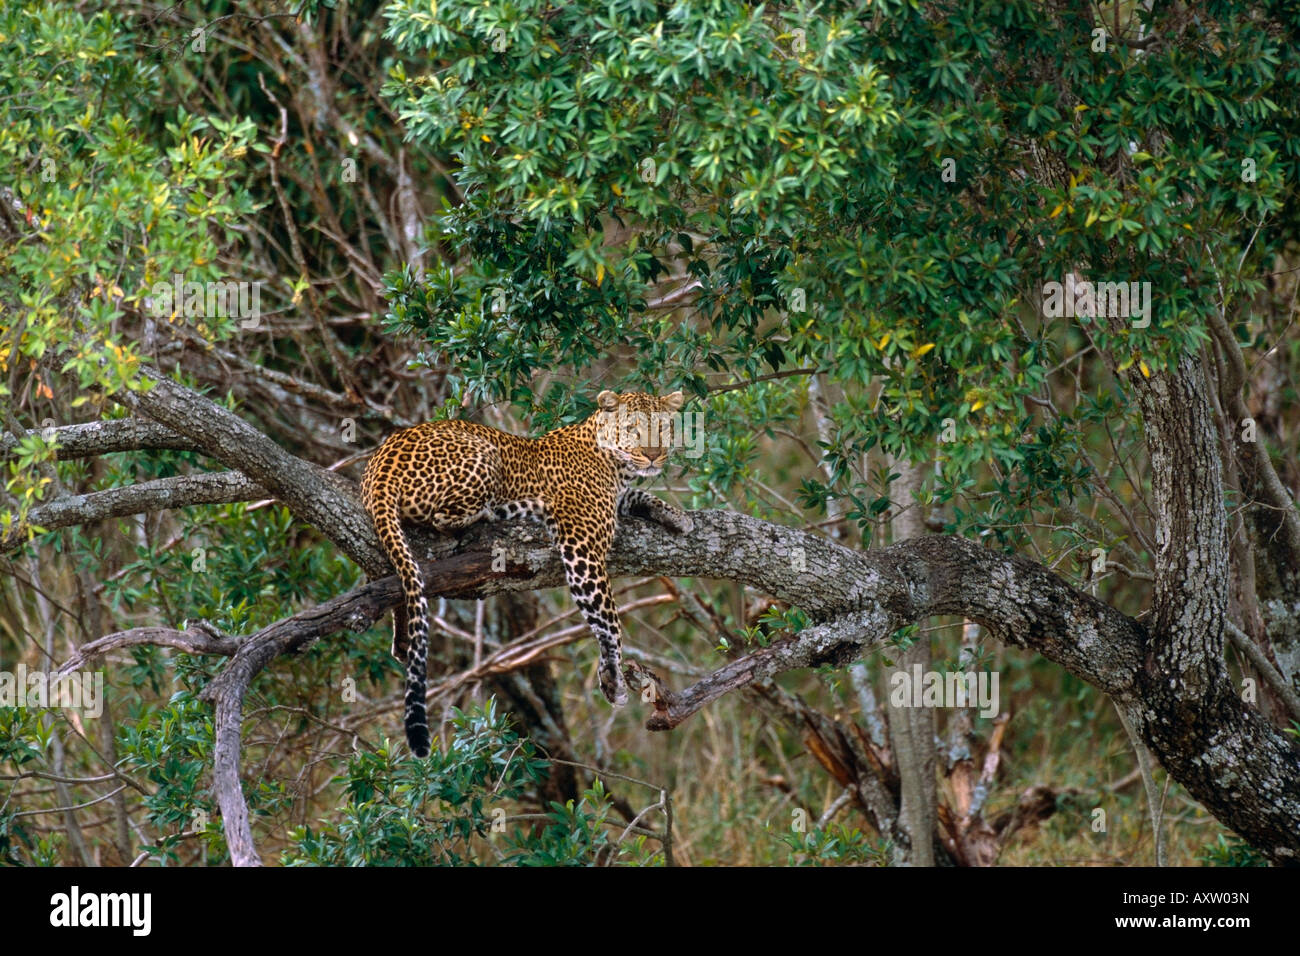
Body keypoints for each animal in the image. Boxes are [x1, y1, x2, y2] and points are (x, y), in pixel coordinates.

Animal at [360, 389, 694, 758]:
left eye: (662, 428)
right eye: (633, 428)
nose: (653, 456)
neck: (614, 465)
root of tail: (381, 464)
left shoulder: (621, 498)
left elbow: (641, 494)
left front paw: (678, 517)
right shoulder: (583, 548)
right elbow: (609, 621)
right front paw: (613, 677)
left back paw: (403, 638)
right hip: (485, 455)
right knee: (442, 518)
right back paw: (500, 511)